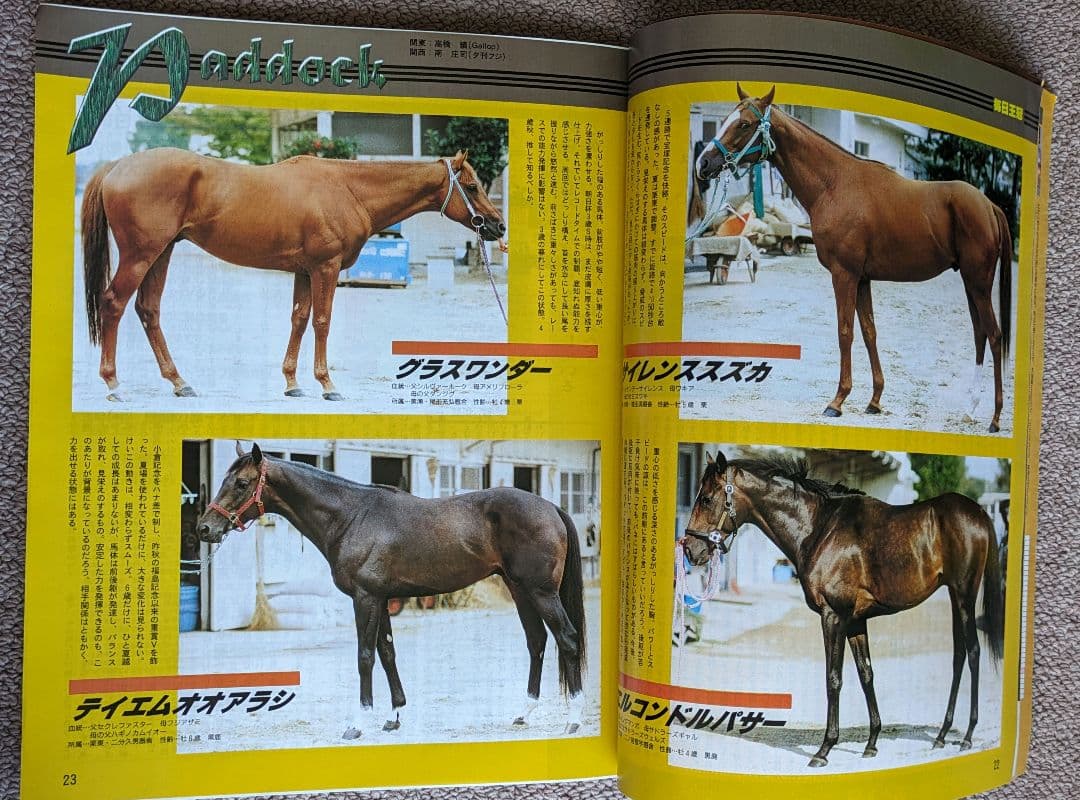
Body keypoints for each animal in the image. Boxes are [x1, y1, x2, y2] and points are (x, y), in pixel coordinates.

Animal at [81, 148, 505, 402]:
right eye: (471, 186)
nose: (498, 226)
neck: (347, 189)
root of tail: (118, 166)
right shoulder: (325, 267)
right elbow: (321, 321)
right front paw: (327, 385)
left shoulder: (304, 270)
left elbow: (299, 319)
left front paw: (292, 383)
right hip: (141, 255)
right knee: (113, 303)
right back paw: (113, 382)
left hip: (162, 252)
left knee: (148, 310)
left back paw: (179, 382)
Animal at [196, 443, 587, 739]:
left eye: (242, 483)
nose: (204, 528)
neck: (352, 516)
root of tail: (550, 506)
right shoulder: (381, 599)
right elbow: (387, 653)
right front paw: (394, 716)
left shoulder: (365, 598)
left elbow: (365, 657)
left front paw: (357, 723)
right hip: (520, 590)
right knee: (537, 641)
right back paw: (524, 712)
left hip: (541, 592)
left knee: (567, 639)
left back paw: (574, 719)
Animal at [682, 451, 1004, 767]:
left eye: (706, 498)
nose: (689, 550)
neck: (819, 528)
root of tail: (979, 512)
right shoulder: (856, 621)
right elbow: (866, 673)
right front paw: (872, 743)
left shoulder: (833, 616)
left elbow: (833, 678)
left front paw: (824, 749)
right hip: (954, 595)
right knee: (959, 656)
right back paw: (941, 735)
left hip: (964, 595)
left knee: (973, 653)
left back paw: (967, 736)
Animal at [695, 85, 1012, 432]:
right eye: (727, 119)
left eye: (745, 124)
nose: (704, 163)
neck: (834, 184)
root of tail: (989, 205)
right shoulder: (862, 278)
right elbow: (869, 332)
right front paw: (874, 401)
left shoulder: (844, 274)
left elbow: (844, 332)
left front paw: (837, 401)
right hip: (970, 282)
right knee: (980, 335)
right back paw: (971, 408)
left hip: (978, 282)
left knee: (995, 336)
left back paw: (995, 418)